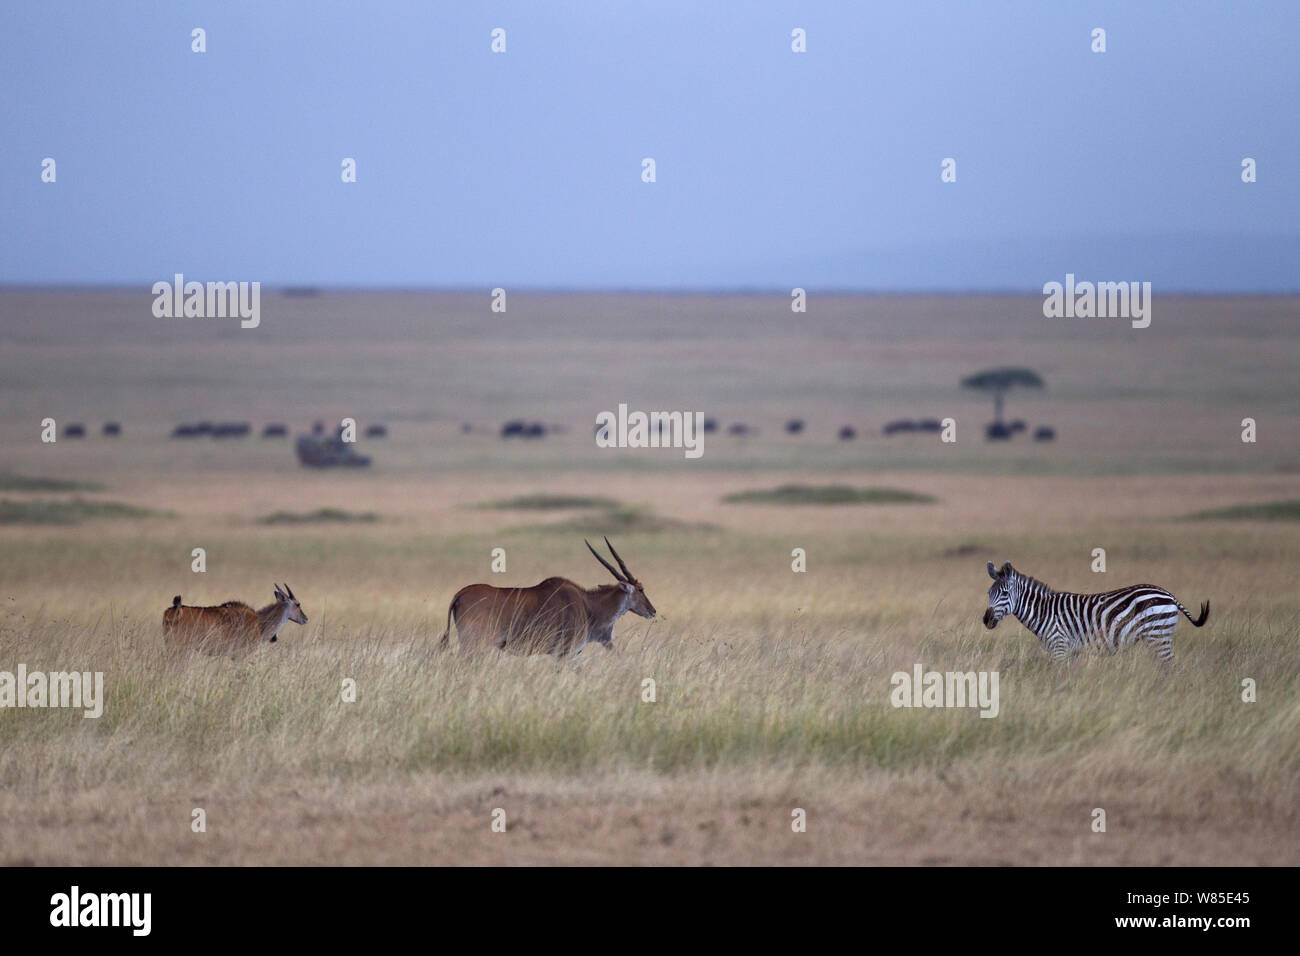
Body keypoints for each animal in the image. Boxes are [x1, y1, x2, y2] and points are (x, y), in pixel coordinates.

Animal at [439, 538, 660, 658]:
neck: (588, 604)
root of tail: (460, 594)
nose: (653, 610)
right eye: (640, 589)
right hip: (472, 645)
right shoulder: (565, 654)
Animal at [982, 564, 1206, 660]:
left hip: (1158, 634)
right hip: (1159, 635)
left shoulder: (1059, 645)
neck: (1044, 611)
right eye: (988, 593)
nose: (986, 620)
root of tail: (1168, 594)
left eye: (1004, 593)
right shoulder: (1068, 650)